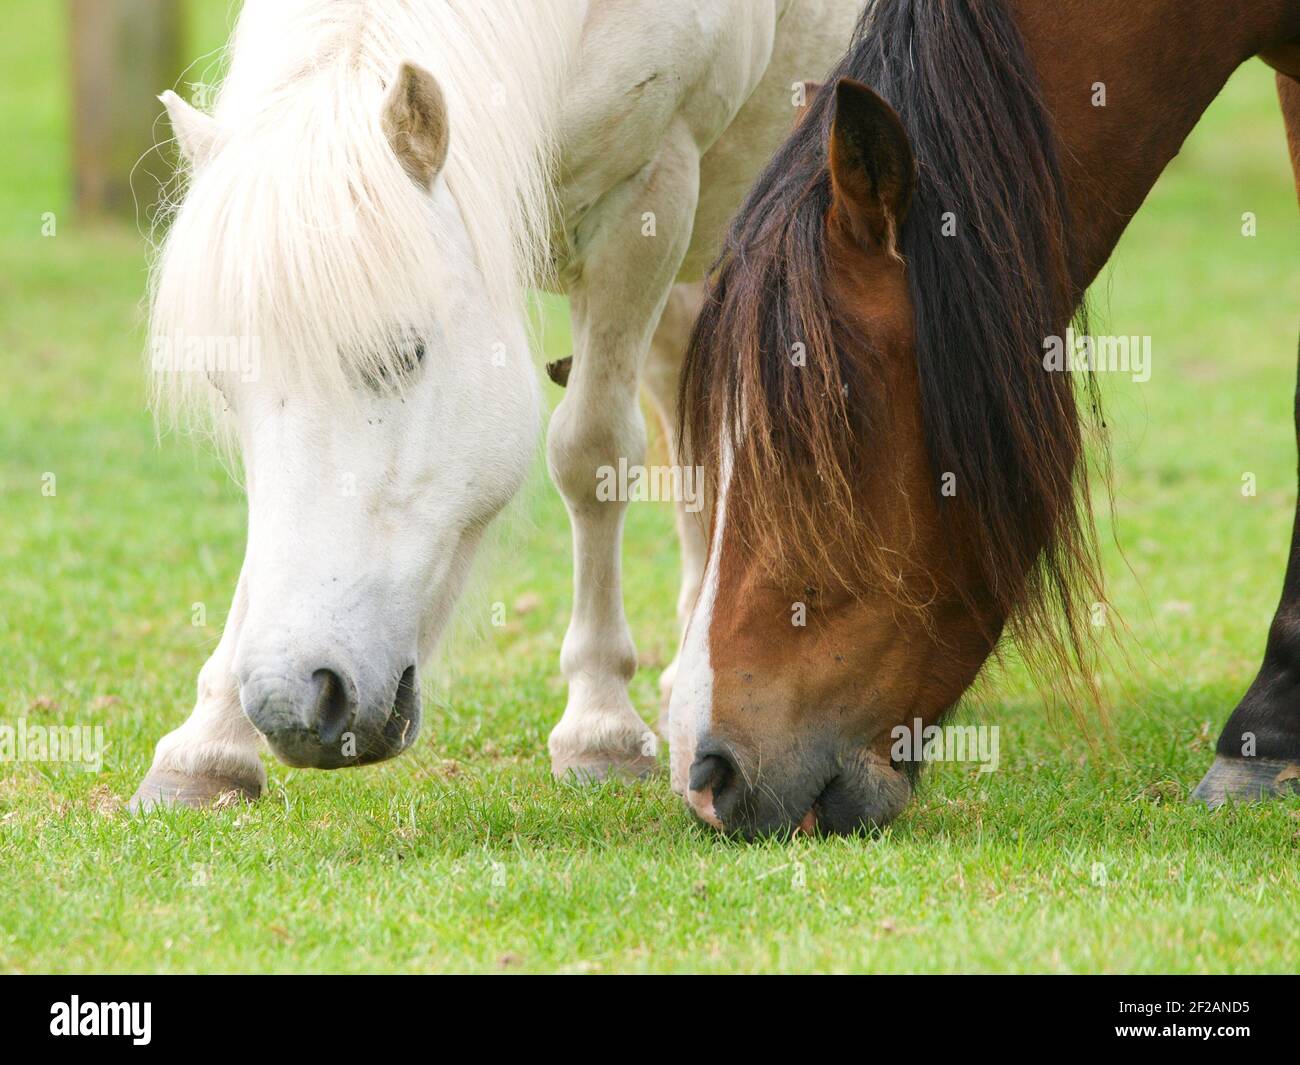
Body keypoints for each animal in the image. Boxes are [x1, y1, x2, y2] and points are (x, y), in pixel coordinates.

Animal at [130, 0, 867, 810]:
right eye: (227, 388)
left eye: (402, 354)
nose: (293, 702)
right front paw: (208, 744)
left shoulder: (650, 191)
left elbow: (593, 454)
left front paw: (600, 724)